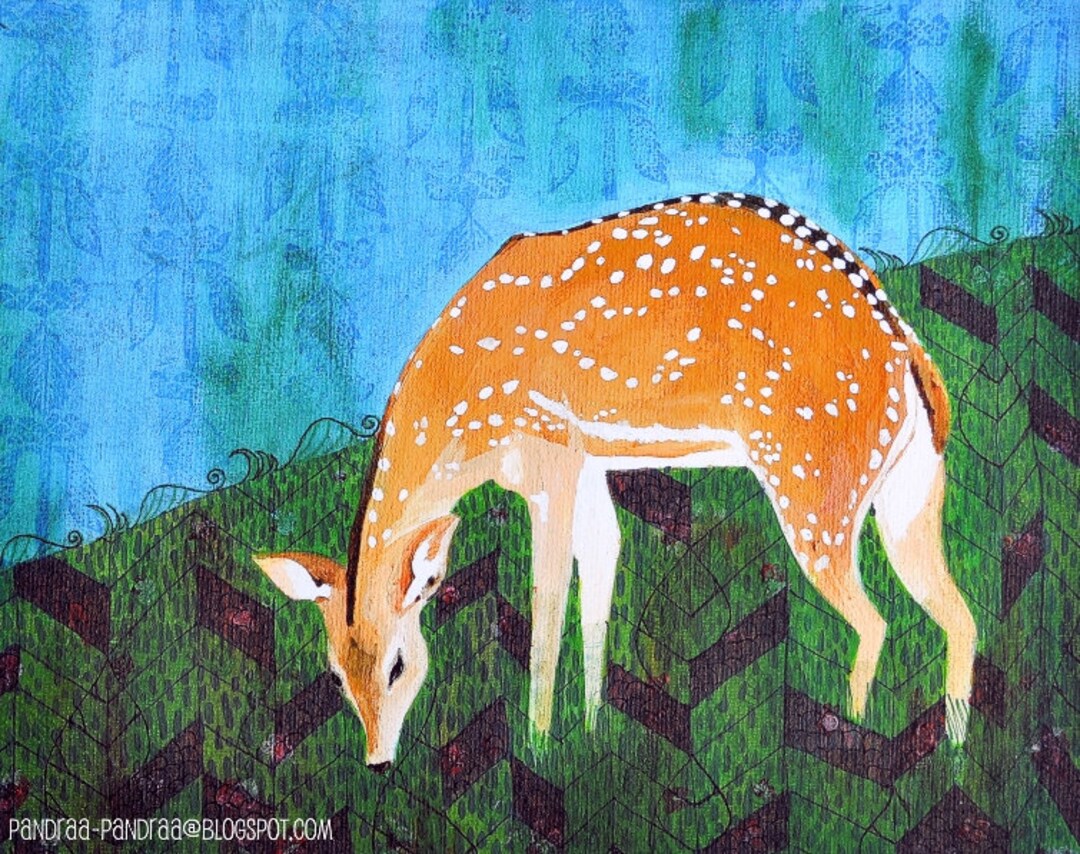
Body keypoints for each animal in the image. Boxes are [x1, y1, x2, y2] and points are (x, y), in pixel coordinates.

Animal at [253, 192, 978, 770]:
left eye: (399, 664)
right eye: (336, 673)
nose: (377, 761)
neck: (465, 421)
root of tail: (910, 353)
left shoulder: (551, 454)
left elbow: (547, 599)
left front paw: (541, 743)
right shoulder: (590, 463)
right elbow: (604, 562)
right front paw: (594, 731)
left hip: (815, 482)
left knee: (878, 620)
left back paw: (857, 744)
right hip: (911, 490)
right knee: (960, 615)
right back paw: (955, 749)